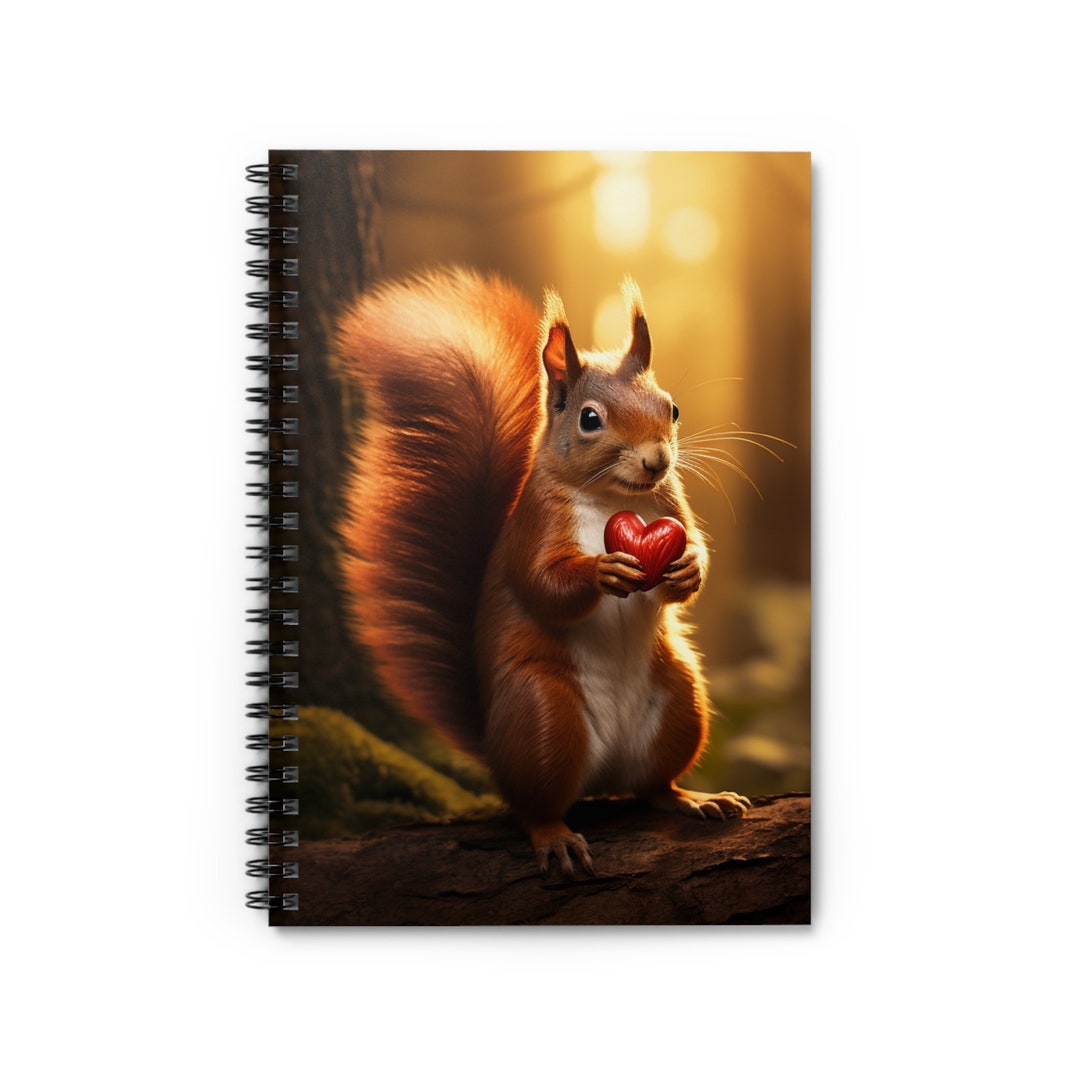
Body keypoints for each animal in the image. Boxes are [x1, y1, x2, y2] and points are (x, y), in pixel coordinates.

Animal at [336, 267, 750, 877]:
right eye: (589, 418)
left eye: (671, 408)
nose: (657, 460)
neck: (612, 497)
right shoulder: (535, 522)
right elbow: (543, 584)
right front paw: (605, 569)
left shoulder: (671, 503)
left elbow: (695, 552)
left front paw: (687, 567)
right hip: (543, 716)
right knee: (532, 805)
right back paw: (554, 836)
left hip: (681, 698)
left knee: (652, 787)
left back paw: (692, 798)